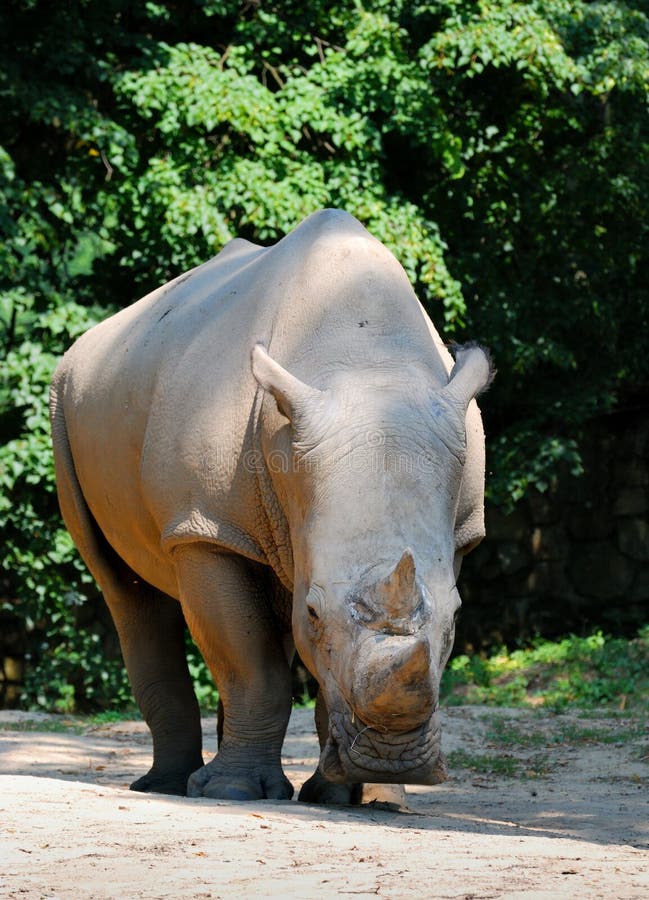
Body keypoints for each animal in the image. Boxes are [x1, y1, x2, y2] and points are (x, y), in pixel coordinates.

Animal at [50, 209, 492, 804]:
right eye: (314, 611)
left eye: (457, 617)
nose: (392, 758)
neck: (365, 364)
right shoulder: (208, 527)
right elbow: (248, 661)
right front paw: (233, 792)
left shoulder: (460, 530)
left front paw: (365, 796)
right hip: (66, 399)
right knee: (125, 589)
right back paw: (169, 786)